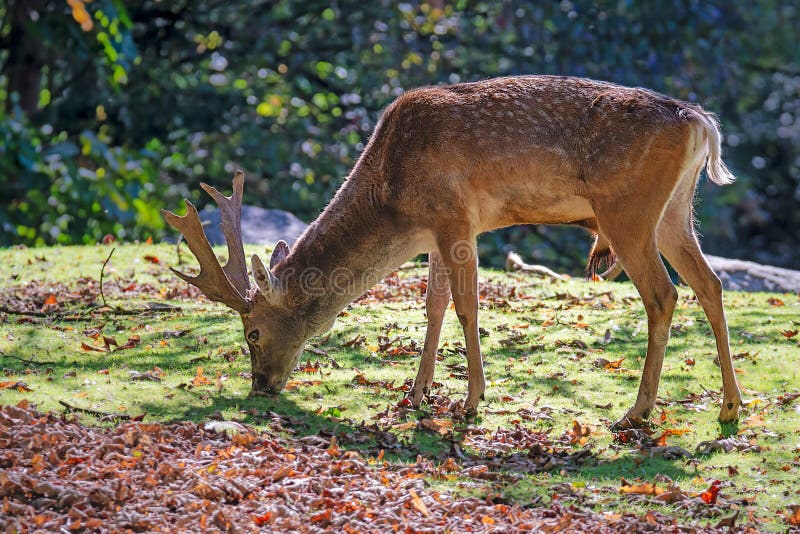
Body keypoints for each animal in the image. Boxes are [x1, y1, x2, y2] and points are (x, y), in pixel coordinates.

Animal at [163, 75, 742, 430]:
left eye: (253, 333)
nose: (261, 386)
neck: (393, 197)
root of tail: (702, 124)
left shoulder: (456, 217)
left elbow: (467, 307)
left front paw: (470, 401)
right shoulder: (435, 232)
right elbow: (433, 306)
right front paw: (416, 393)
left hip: (628, 211)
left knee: (664, 295)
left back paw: (636, 412)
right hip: (674, 213)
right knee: (710, 284)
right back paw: (729, 407)